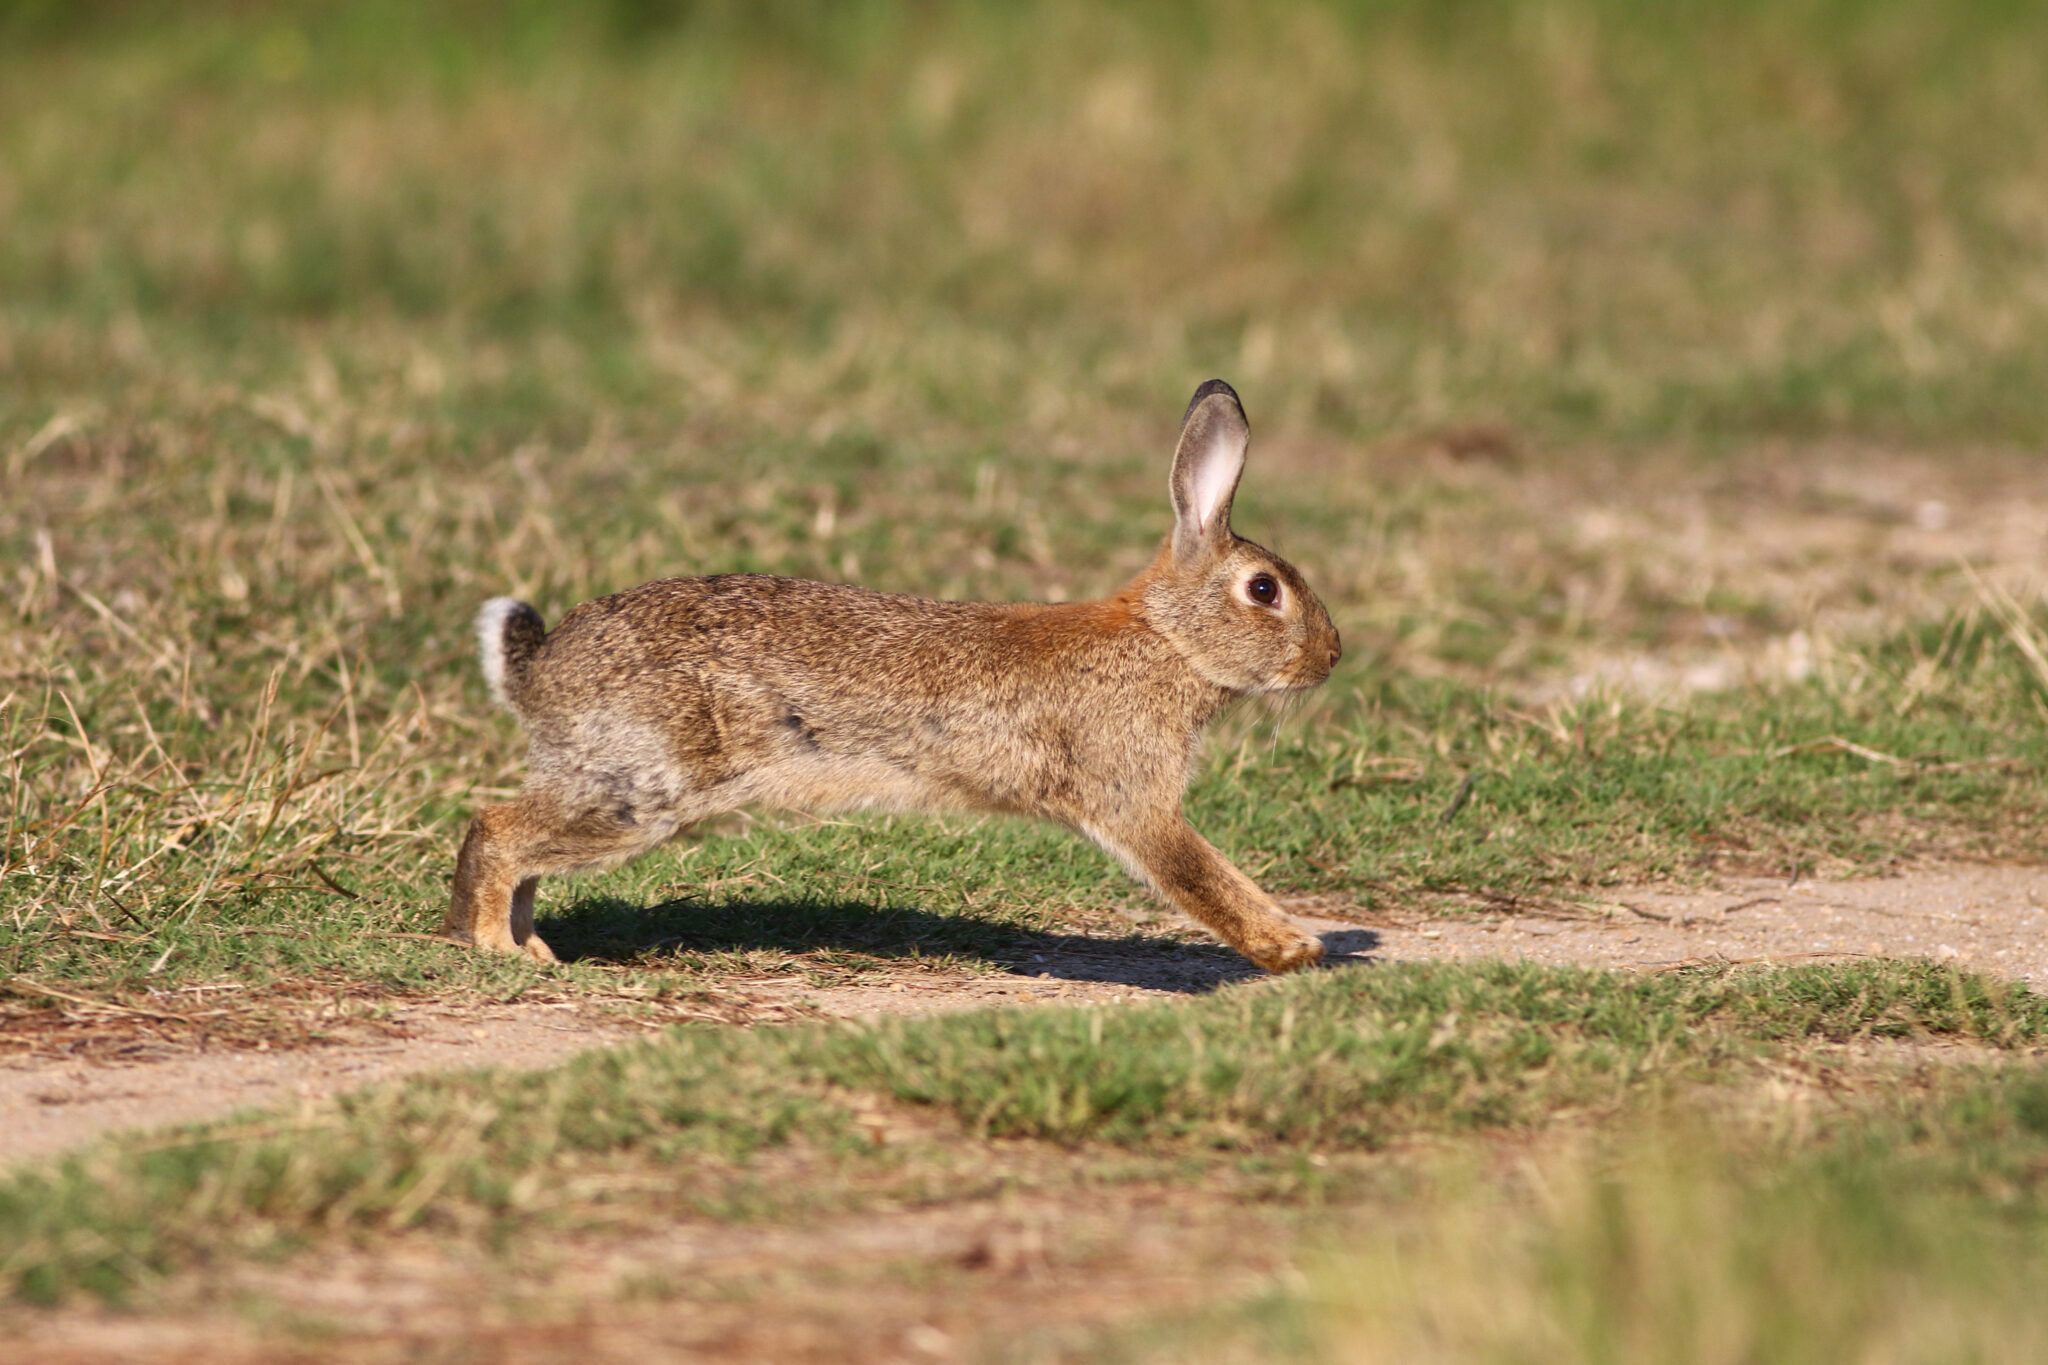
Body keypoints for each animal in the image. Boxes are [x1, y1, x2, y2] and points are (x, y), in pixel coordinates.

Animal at [449, 379, 1342, 973]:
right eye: (1265, 590)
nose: (1330, 656)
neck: (1165, 639)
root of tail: (538, 669)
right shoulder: (1132, 796)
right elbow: (1197, 870)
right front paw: (1291, 947)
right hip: (639, 784)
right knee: (498, 828)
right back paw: (501, 950)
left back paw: (529, 944)